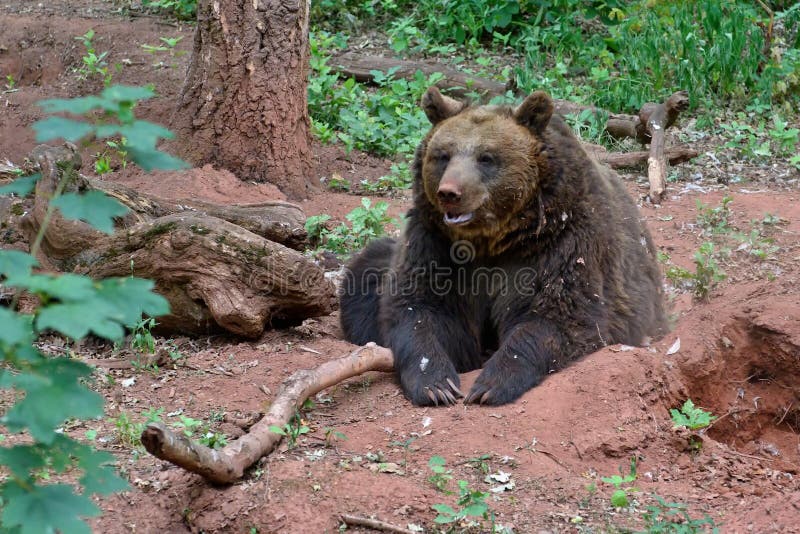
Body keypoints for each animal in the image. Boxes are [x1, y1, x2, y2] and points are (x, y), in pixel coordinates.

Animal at [340, 87, 667, 406]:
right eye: (443, 155)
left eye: (486, 157)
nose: (450, 193)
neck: (493, 239)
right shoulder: (435, 244)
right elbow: (420, 308)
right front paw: (436, 384)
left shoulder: (563, 243)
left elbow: (557, 316)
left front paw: (491, 384)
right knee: (366, 272)